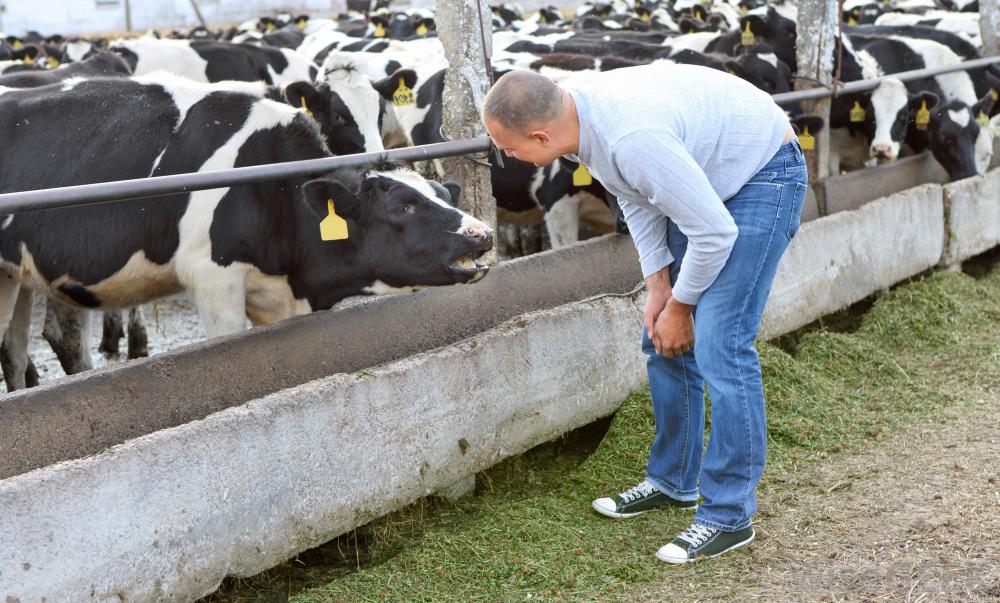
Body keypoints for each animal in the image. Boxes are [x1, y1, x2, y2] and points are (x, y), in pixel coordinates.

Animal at [0, 75, 492, 364]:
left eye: (440, 193)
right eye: (403, 206)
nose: (481, 232)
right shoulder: (212, 275)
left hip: (11, 274)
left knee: (15, 346)